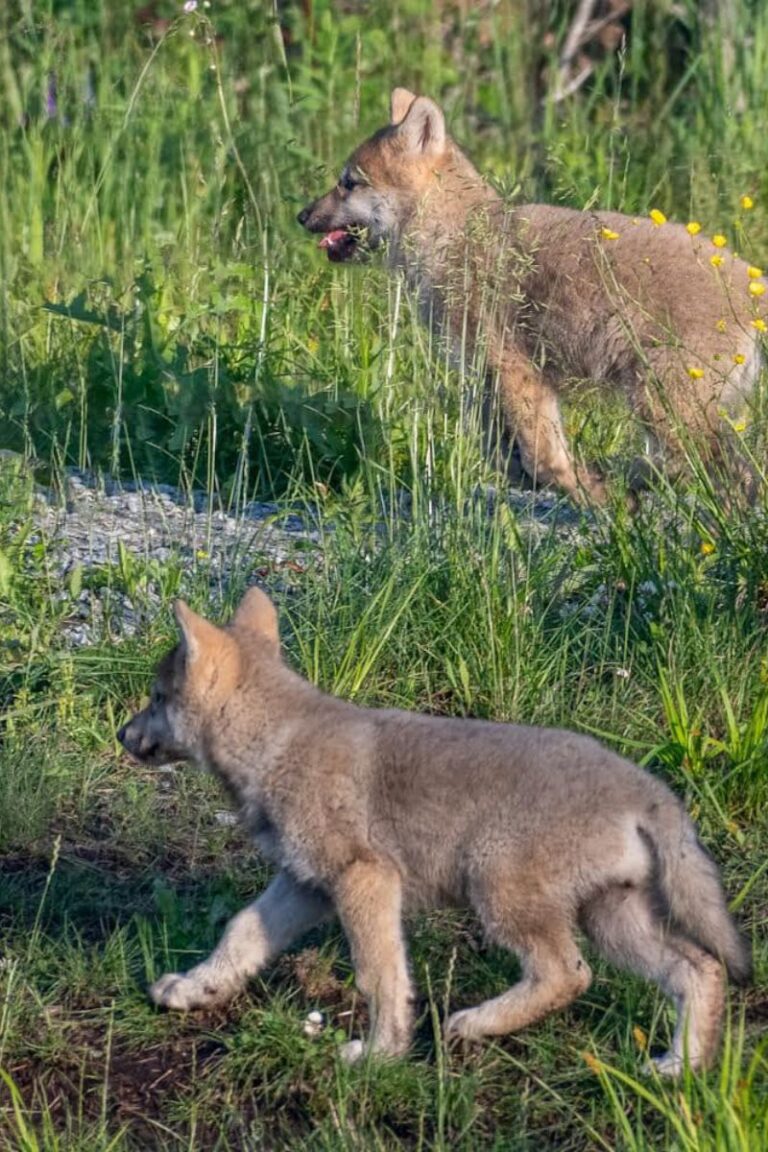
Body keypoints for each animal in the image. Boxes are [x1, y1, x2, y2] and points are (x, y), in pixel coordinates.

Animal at [118, 587, 750, 1074]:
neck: (277, 744)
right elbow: (241, 933)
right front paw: (196, 988)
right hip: (612, 920)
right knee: (699, 968)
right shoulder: (305, 885)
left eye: (155, 697)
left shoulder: (364, 881)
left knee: (568, 974)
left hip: (500, 894)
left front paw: (380, 1055)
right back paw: (678, 1068)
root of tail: (645, 789)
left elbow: (379, 976)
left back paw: (474, 1023)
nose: (123, 735)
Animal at [298, 88, 764, 504]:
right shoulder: (485, 377)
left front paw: (596, 495)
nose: (301, 215)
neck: (453, 239)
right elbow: (508, 459)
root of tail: (752, 283)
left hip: (663, 406)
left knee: (728, 475)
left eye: (349, 183)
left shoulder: (517, 370)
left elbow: (545, 460)